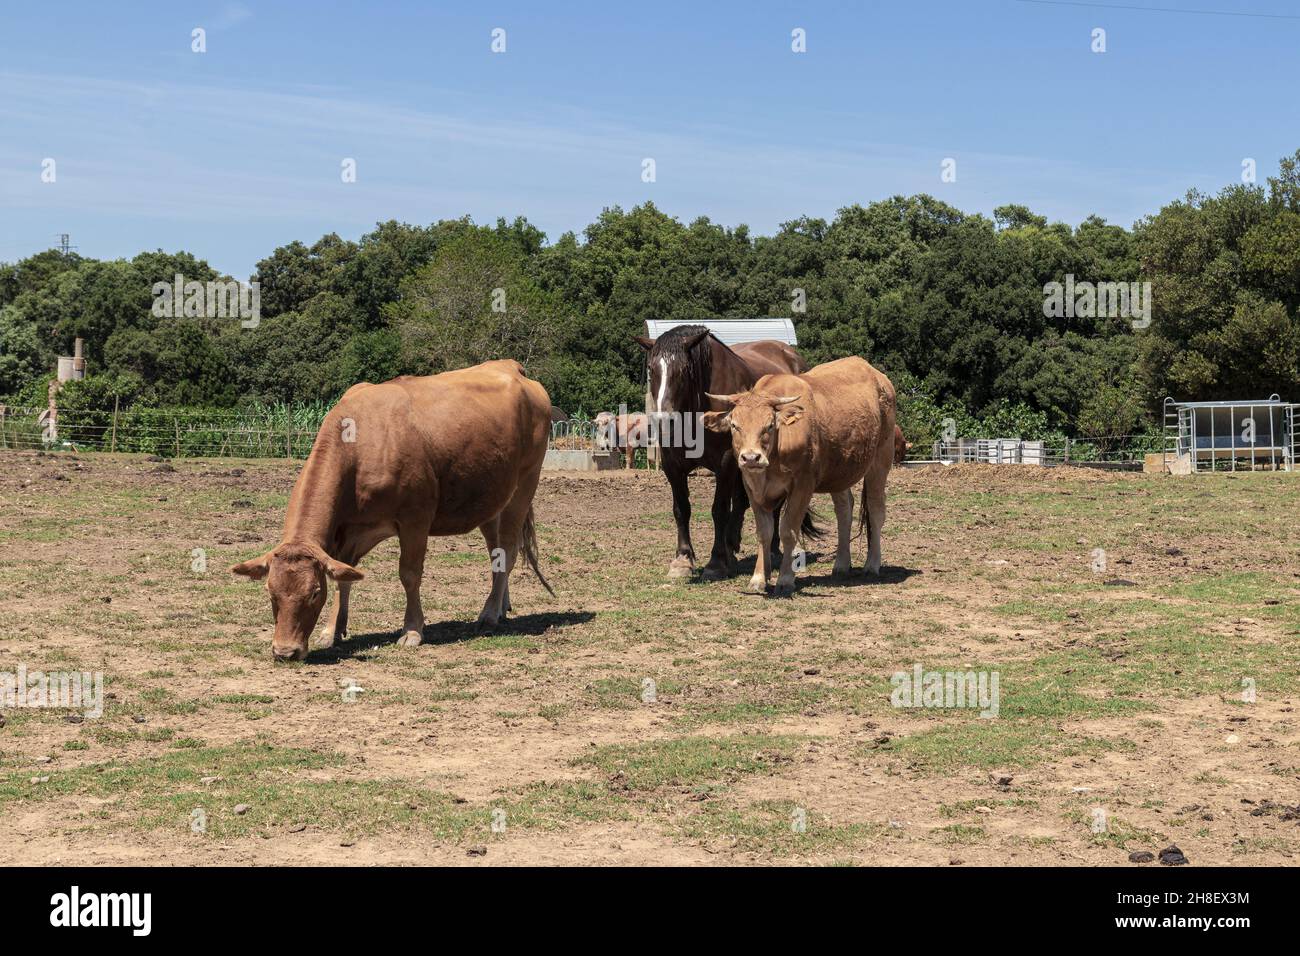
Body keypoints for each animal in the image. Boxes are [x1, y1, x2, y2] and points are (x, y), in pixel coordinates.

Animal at [231, 359, 553, 661]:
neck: (360, 445)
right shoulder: (347, 531)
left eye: (314, 593)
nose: (285, 652)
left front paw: (412, 630)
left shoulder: (415, 519)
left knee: (507, 551)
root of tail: (512, 367)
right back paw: (501, 607)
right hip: (491, 501)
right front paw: (332, 629)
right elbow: (344, 577)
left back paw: (488, 614)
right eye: (270, 592)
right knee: (495, 553)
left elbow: (409, 574)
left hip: (524, 486)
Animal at [703, 356, 896, 596]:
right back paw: (841, 564)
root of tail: (878, 376)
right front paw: (759, 578)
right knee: (844, 510)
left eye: (769, 426)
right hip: (839, 470)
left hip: (881, 459)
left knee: (876, 509)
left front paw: (785, 579)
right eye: (734, 425)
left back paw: (872, 564)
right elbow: (764, 532)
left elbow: (788, 530)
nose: (751, 458)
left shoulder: (803, 486)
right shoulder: (751, 486)